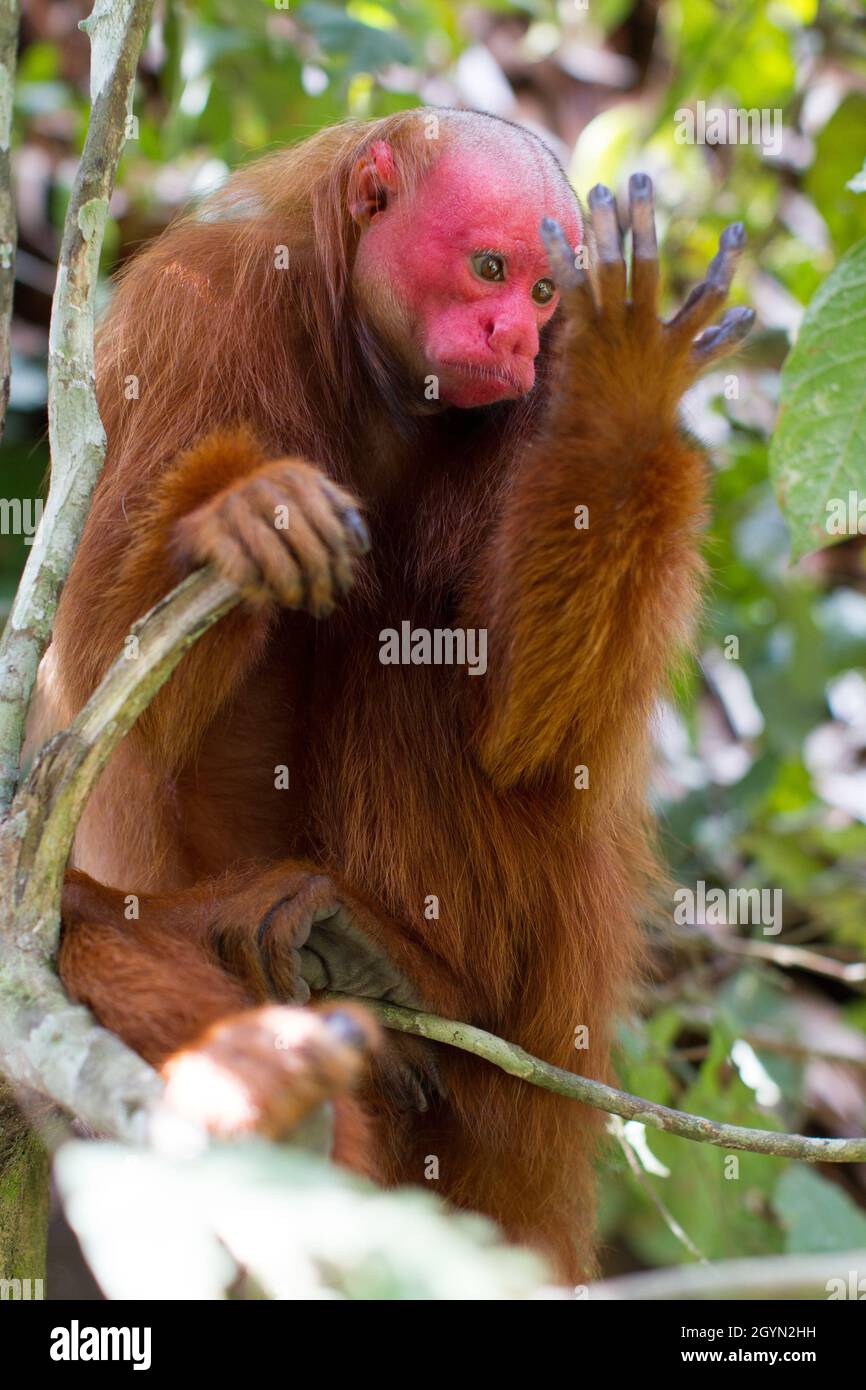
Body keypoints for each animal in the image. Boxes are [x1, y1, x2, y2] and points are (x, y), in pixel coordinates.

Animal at [31, 108, 752, 1280]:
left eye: (544, 295)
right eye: (488, 269)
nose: (511, 341)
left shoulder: (535, 407)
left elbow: (525, 726)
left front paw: (632, 387)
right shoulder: (193, 317)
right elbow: (95, 674)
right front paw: (237, 514)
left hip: (544, 1007)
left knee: (411, 639)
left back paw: (396, 972)